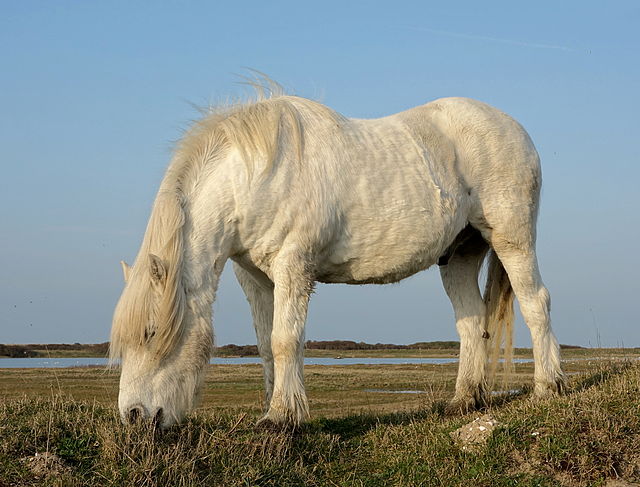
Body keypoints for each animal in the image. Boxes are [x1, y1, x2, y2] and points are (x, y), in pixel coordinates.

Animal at [110, 85, 565, 428]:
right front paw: (275, 409)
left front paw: (281, 418)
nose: (134, 417)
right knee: (472, 322)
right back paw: (465, 401)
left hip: (512, 241)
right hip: (459, 255)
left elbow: (285, 339)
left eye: (151, 331)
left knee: (535, 303)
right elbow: (265, 345)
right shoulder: (255, 278)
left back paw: (548, 387)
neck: (255, 175)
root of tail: (512, 126)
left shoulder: (293, 266)